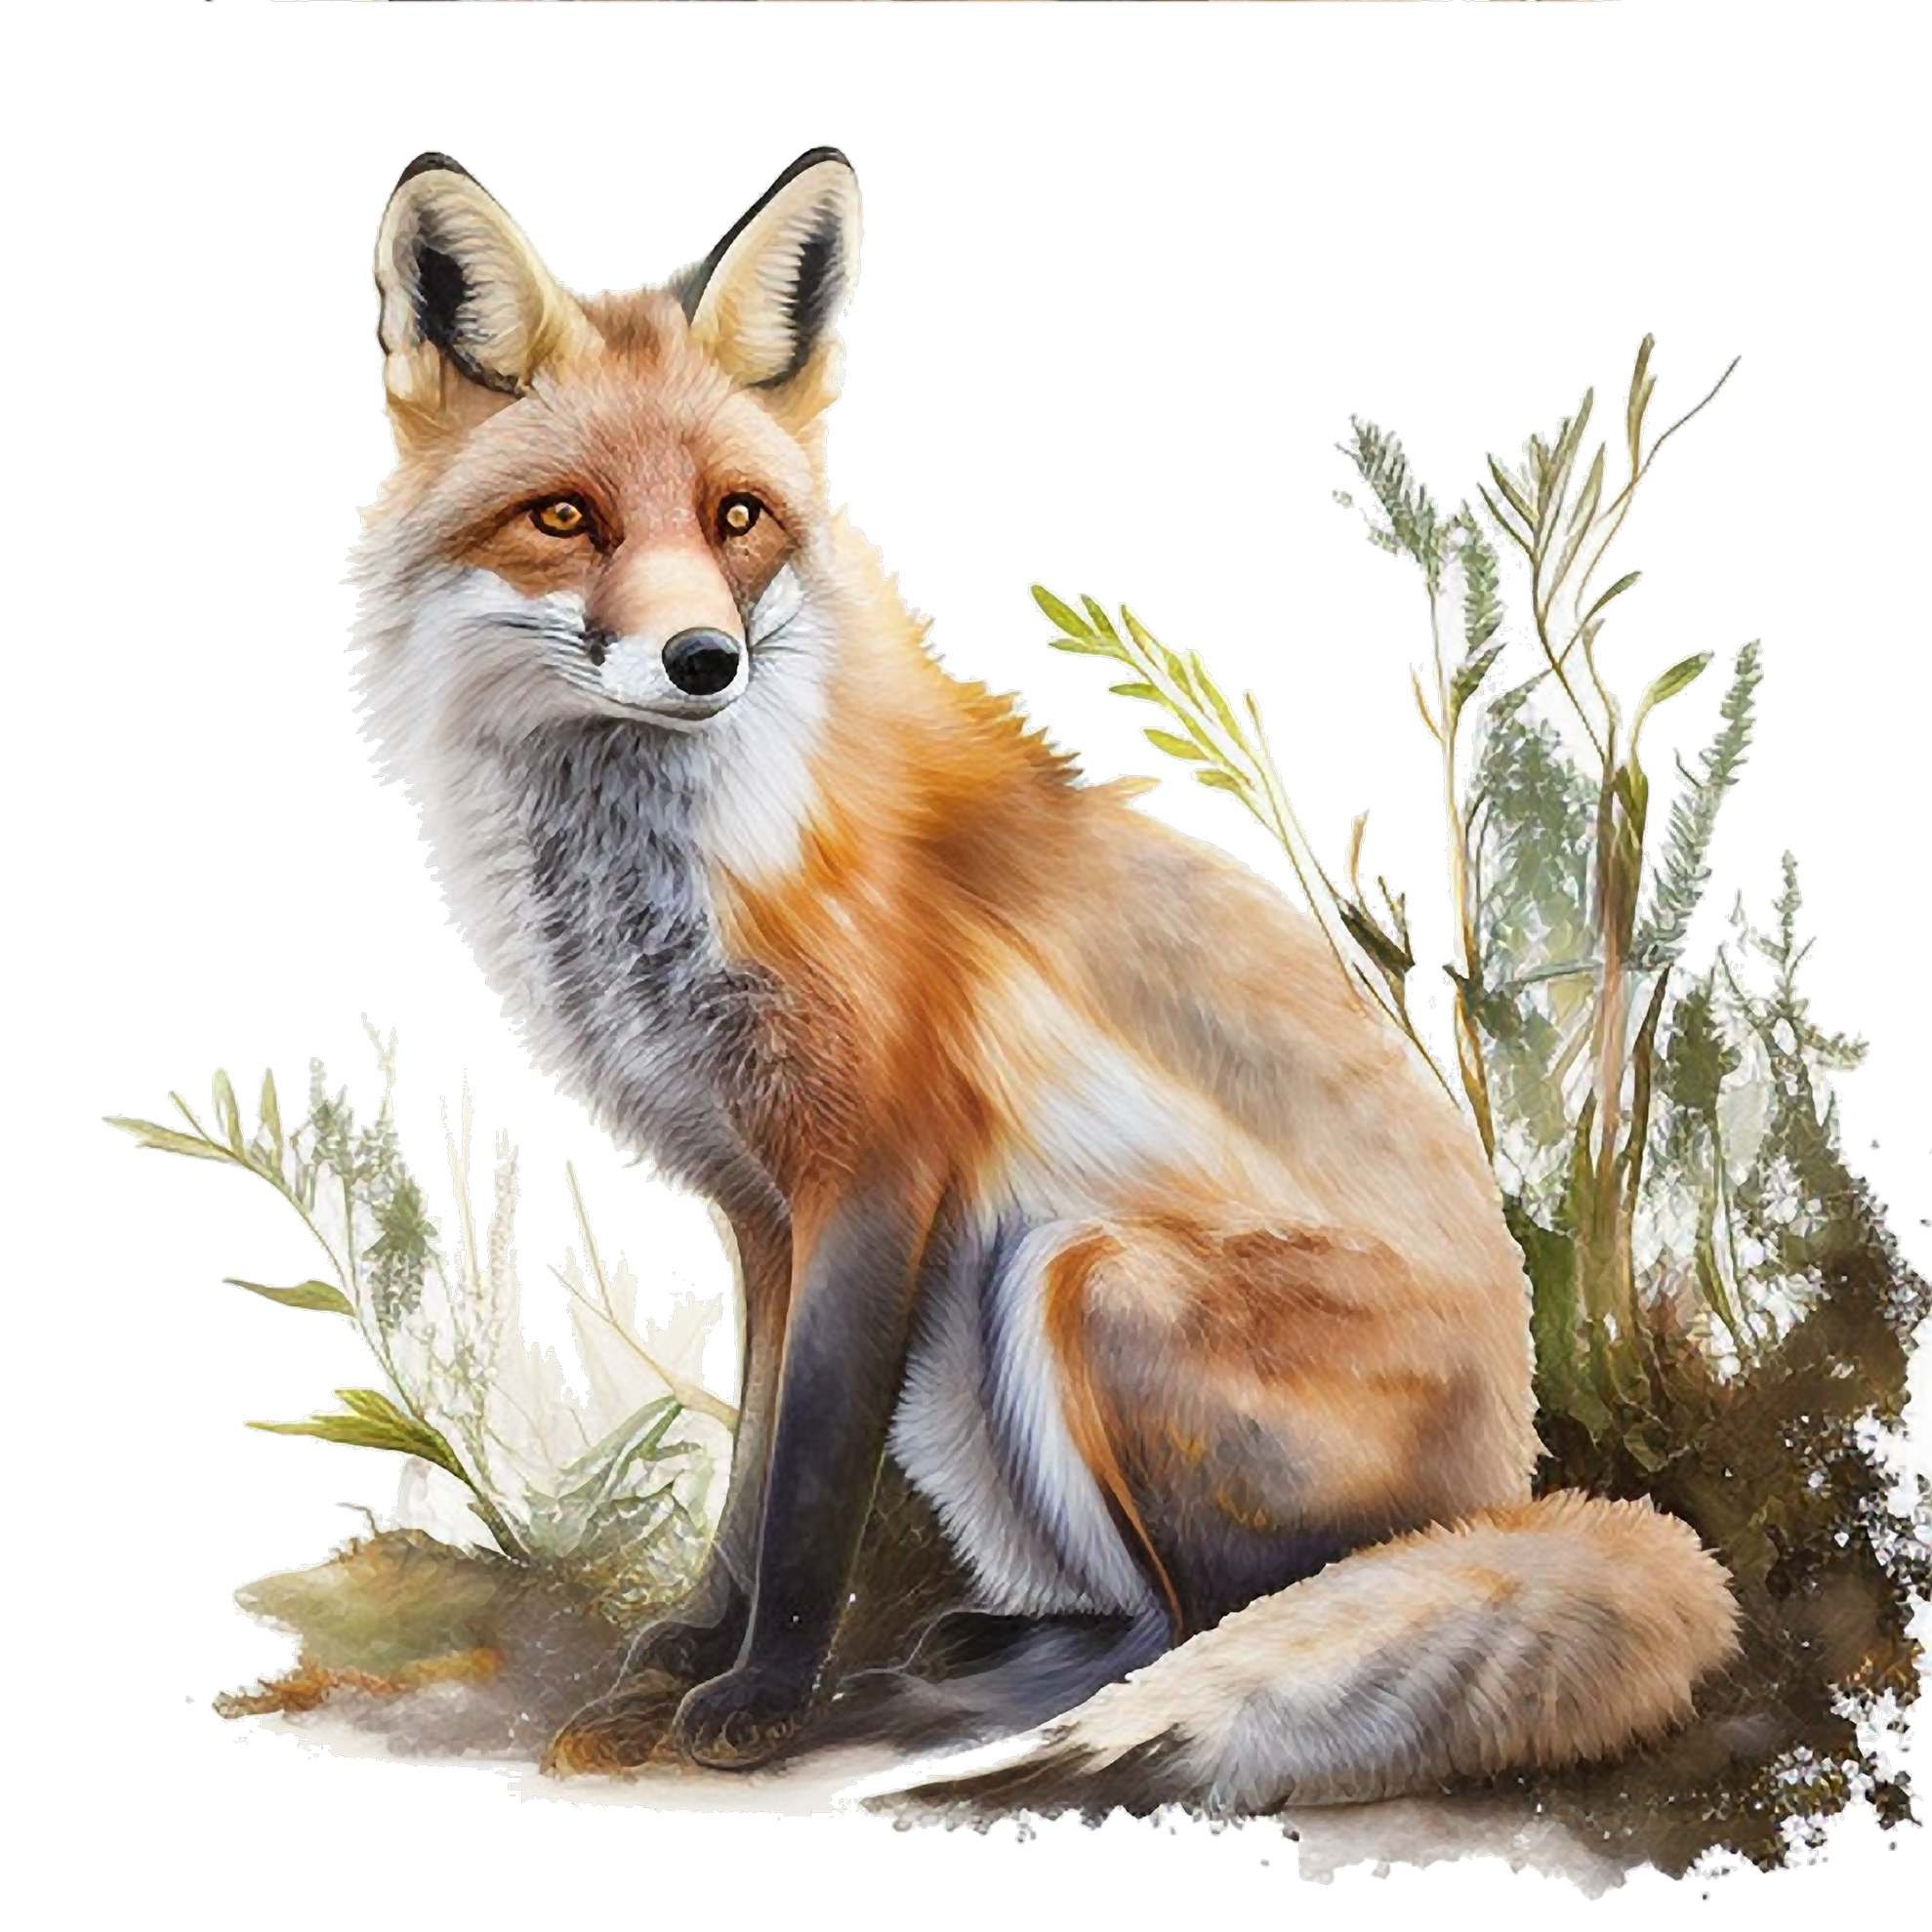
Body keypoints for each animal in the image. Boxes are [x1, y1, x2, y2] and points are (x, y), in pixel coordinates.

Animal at [350, 147, 1739, 1812]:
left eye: (737, 514)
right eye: (566, 515)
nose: (701, 659)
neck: (659, 867)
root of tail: (1512, 1481)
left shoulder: (875, 1170)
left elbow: (806, 1483)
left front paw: (757, 1698)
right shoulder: (761, 1206)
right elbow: (749, 1463)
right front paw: (692, 1642)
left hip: (1074, 1274)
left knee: (1213, 1613)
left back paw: (972, 1695)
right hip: (978, 1358)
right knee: (1151, 1610)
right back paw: (982, 1649)